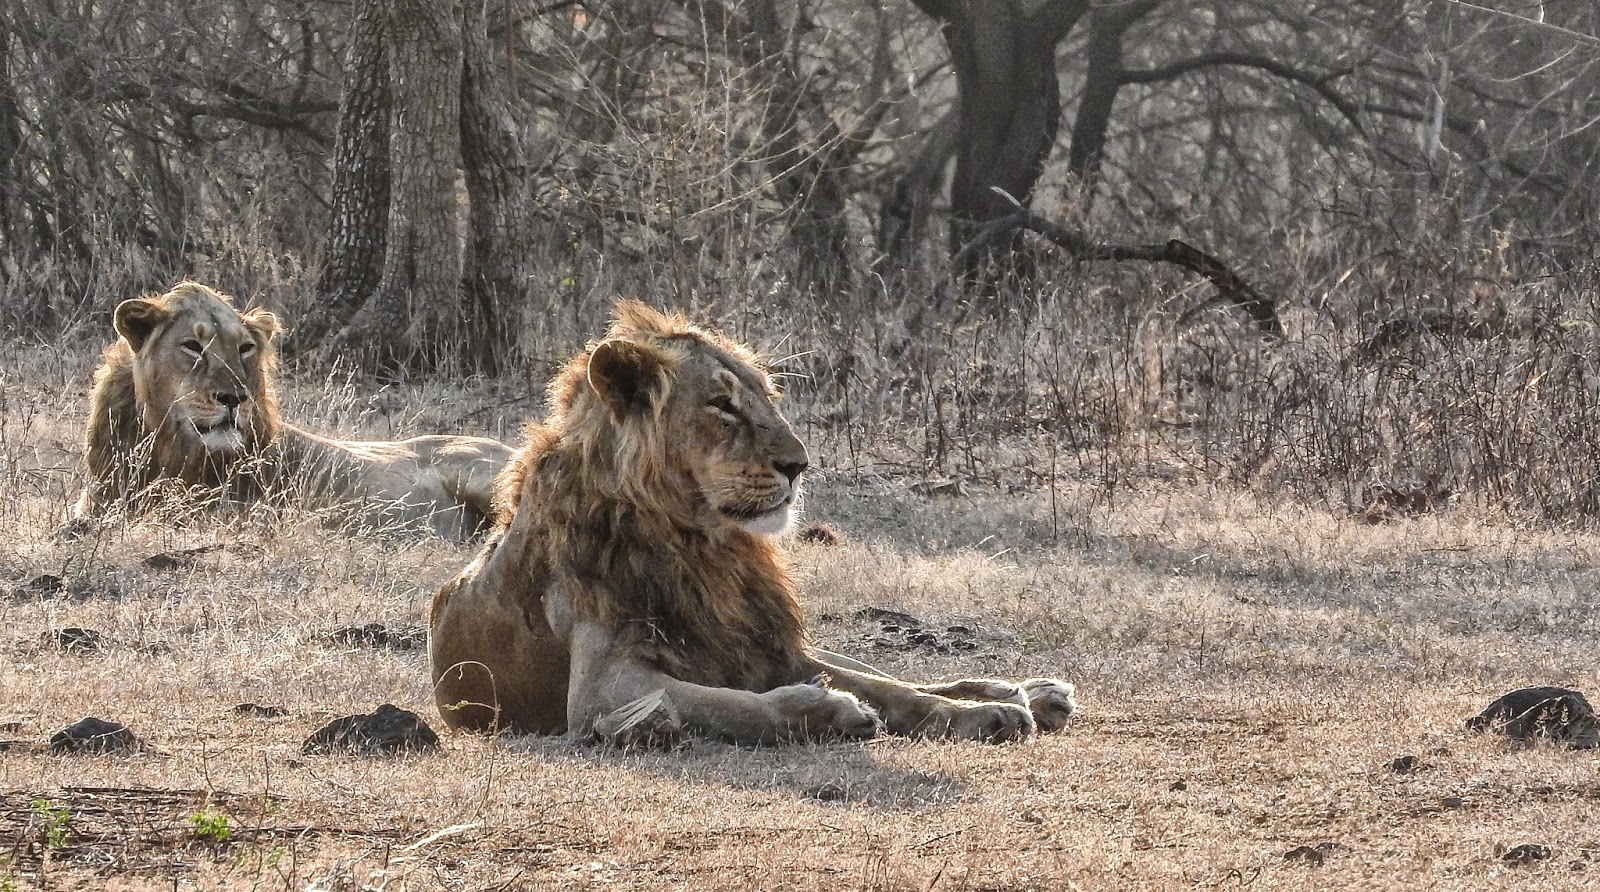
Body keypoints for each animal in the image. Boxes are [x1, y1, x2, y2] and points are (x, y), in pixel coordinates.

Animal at [71, 281, 513, 542]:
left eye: (245, 348)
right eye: (193, 347)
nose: (233, 397)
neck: (165, 446)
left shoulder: (219, 514)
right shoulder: (100, 497)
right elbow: (82, 520)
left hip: (481, 473)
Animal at [429, 301, 1076, 745]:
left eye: (767, 397)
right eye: (722, 406)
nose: (800, 464)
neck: (702, 545)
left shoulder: (764, 644)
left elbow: (895, 688)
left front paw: (982, 714)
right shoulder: (601, 693)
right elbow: (734, 705)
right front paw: (832, 710)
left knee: (881, 668)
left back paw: (1026, 692)